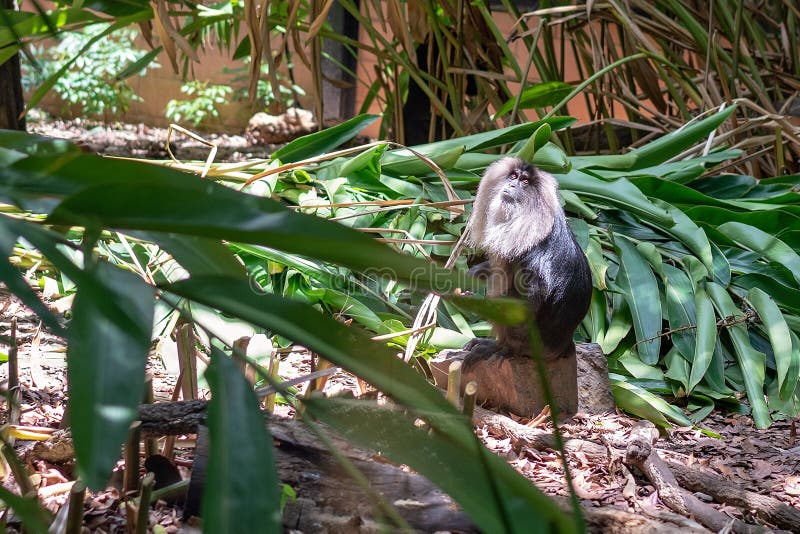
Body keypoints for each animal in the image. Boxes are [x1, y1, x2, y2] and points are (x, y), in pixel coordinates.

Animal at [463, 157, 592, 361]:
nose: (512, 185)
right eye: (513, 176)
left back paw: (501, 347)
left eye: (524, 182)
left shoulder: (533, 256)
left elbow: (527, 306)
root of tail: (564, 346)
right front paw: (474, 274)